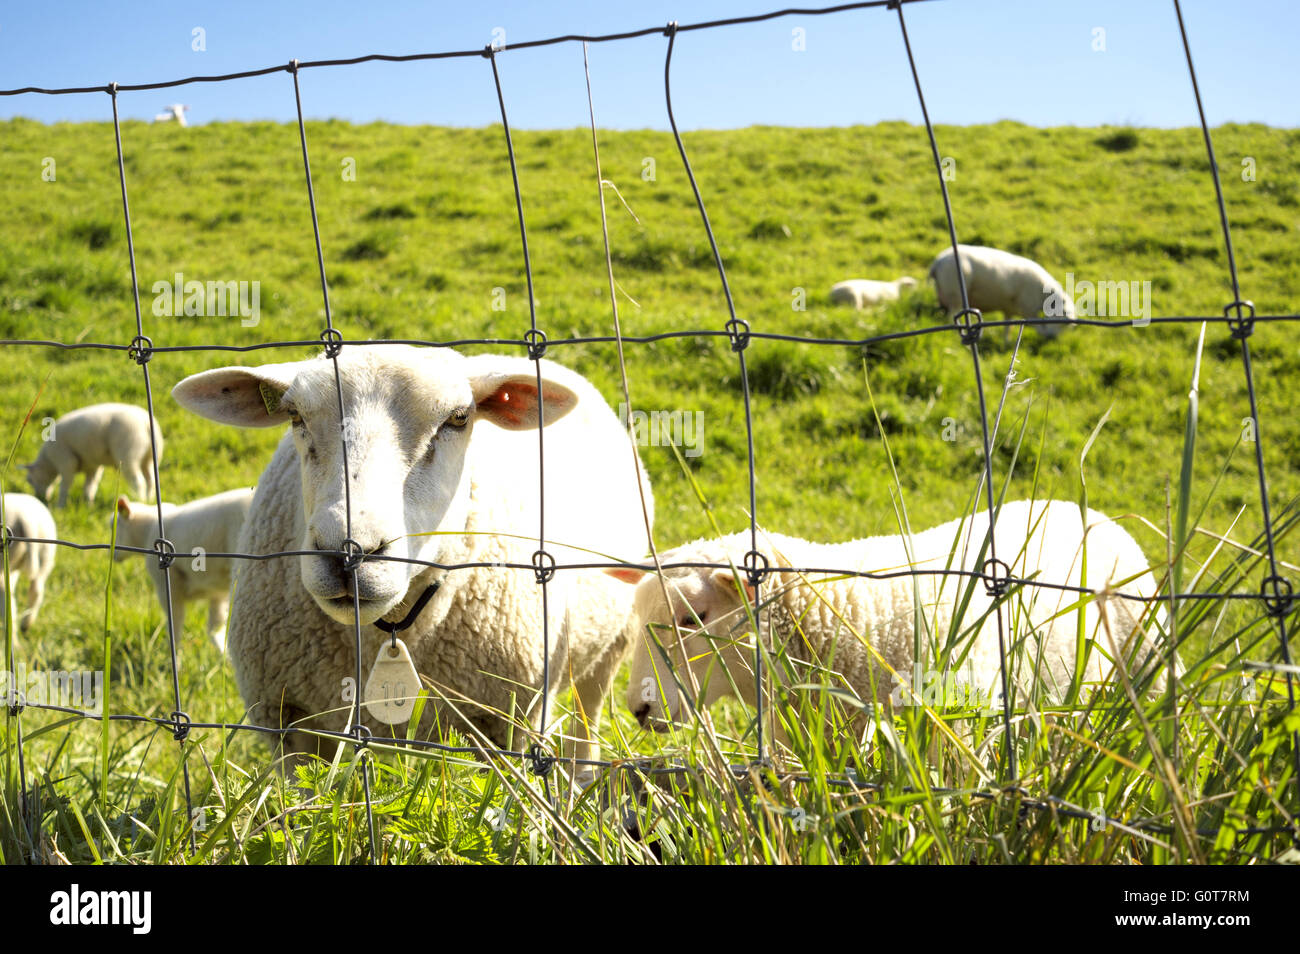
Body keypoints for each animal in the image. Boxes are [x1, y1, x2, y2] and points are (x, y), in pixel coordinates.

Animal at [23, 403, 163, 509]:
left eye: (29, 480)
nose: (40, 498)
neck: (49, 462)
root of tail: (146, 423)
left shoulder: (66, 461)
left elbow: (65, 485)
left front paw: (60, 506)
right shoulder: (92, 466)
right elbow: (90, 486)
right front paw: (88, 505)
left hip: (128, 453)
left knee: (138, 481)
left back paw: (138, 500)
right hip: (149, 458)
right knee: (151, 480)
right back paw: (149, 500)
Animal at [111, 488, 254, 652]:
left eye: (115, 527)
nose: (113, 556)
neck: (147, 529)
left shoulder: (167, 587)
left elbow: (175, 629)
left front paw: (174, 656)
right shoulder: (217, 592)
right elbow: (214, 628)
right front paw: (222, 655)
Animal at [171, 345, 653, 767]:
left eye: (458, 418)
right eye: (295, 416)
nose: (350, 553)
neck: (388, 631)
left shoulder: (512, 721)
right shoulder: (288, 722)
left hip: (614, 639)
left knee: (587, 720)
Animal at [928, 244, 1075, 338]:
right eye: (1061, 316)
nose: (1051, 338)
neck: (1042, 294)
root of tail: (937, 261)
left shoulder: (1009, 309)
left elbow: (1007, 328)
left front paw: (1006, 343)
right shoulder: (1028, 309)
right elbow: (1037, 326)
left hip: (944, 294)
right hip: (955, 292)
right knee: (951, 315)